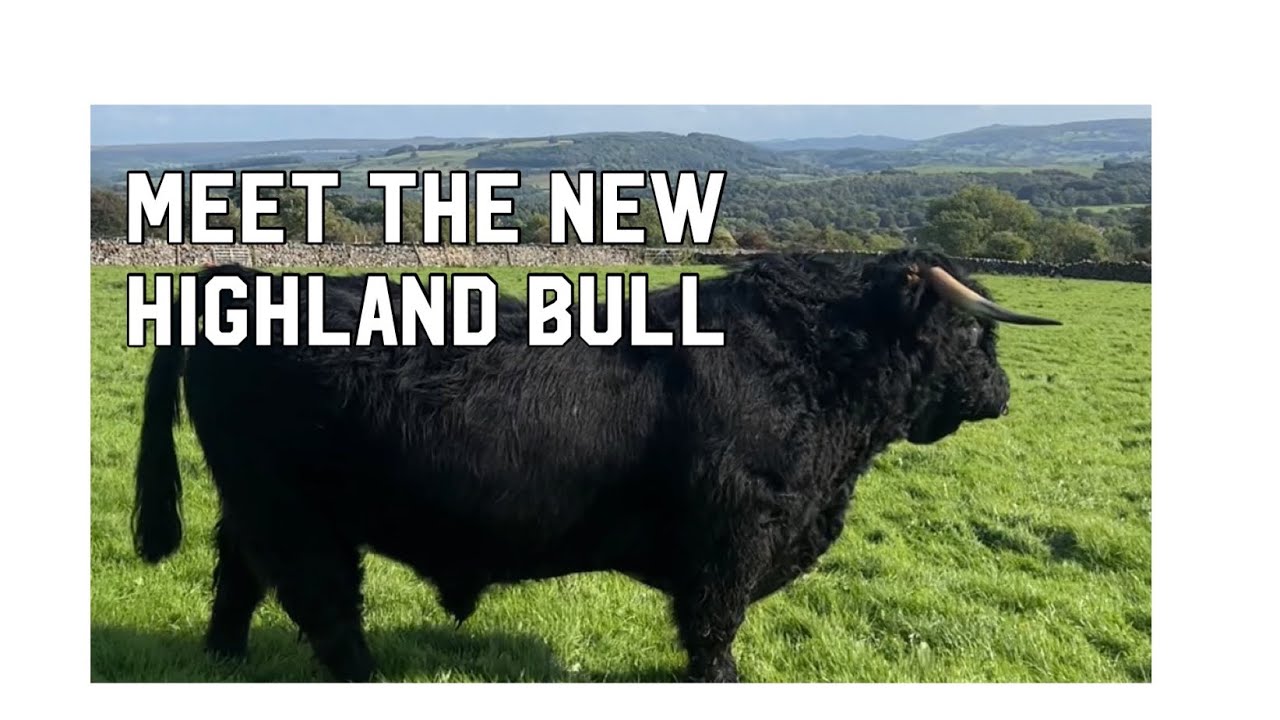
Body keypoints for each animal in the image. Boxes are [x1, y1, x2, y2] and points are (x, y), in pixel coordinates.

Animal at [130, 249, 1060, 682]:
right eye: (972, 330)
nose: (1004, 391)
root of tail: (238, 278)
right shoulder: (731, 534)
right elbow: (713, 625)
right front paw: (723, 681)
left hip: (256, 501)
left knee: (237, 575)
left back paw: (223, 657)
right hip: (294, 509)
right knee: (323, 604)